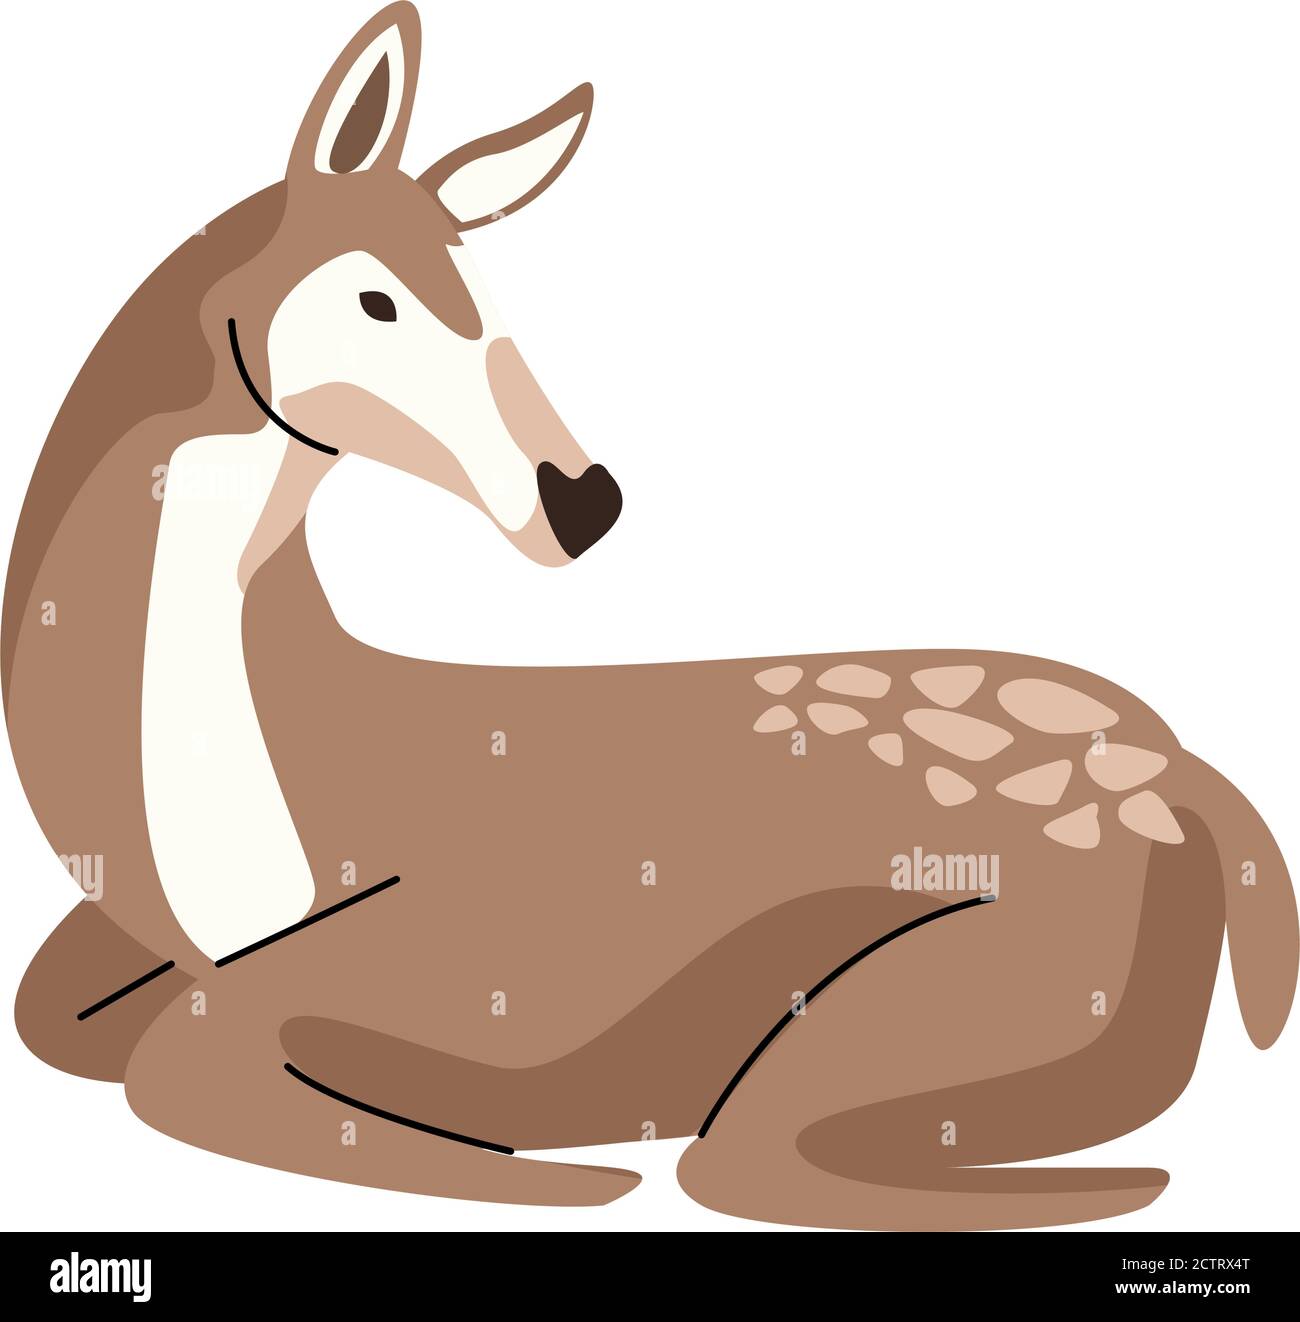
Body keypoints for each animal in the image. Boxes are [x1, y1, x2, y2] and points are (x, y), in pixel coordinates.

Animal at [4, 3, 1296, 1231]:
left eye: (490, 293)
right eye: (375, 298)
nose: (581, 496)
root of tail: (1198, 785)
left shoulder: (496, 980)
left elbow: (184, 1061)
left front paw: (542, 1168)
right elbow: (55, 1014)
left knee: (744, 1164)